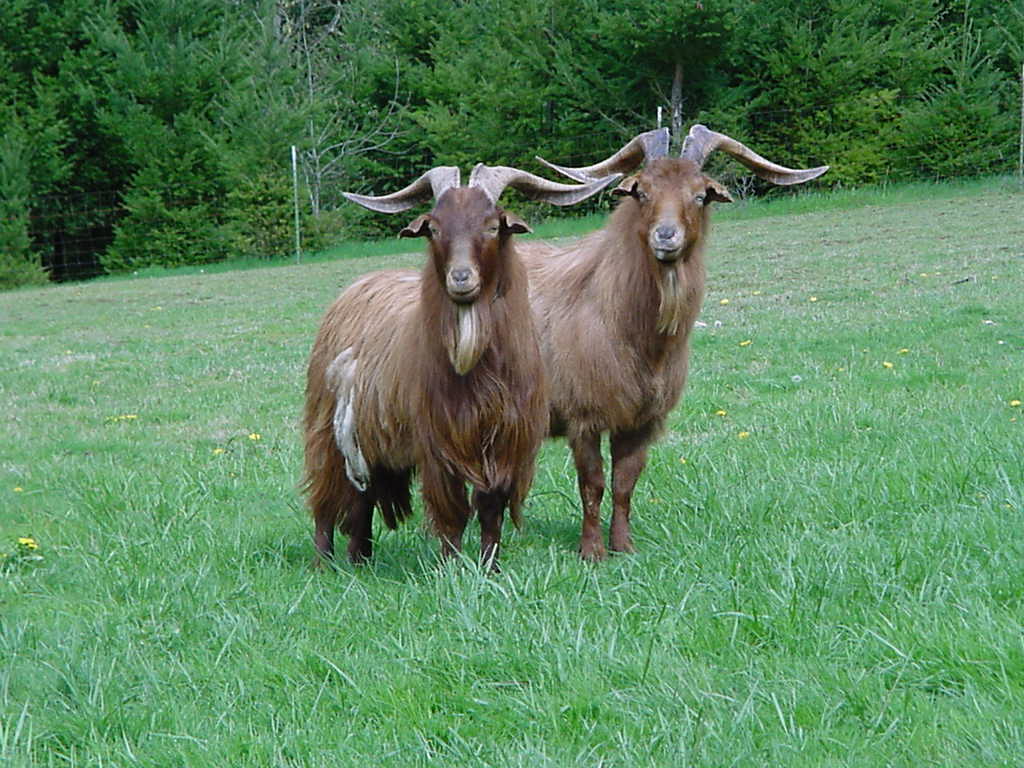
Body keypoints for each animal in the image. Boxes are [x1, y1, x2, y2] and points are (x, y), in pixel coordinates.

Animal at [302, 163, 619, 569]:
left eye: (492, 225)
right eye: (435, 228)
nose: (461, 278)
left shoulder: (505, 439)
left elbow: (490, 507)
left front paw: (490, 566)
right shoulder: (439, 441)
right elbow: (451, 509)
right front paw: (450, 566)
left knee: (363, 499)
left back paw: (360, 560)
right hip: (326, 430)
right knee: (326, 496)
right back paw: (323, 563)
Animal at [520, 125, 828, 560]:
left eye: (700, 194)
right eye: (642, 191)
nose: (665, 236)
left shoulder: (642, 420)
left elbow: (625, 484)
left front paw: (624, 547)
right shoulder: (584, 415)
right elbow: (592, 485)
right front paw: (592, 552)